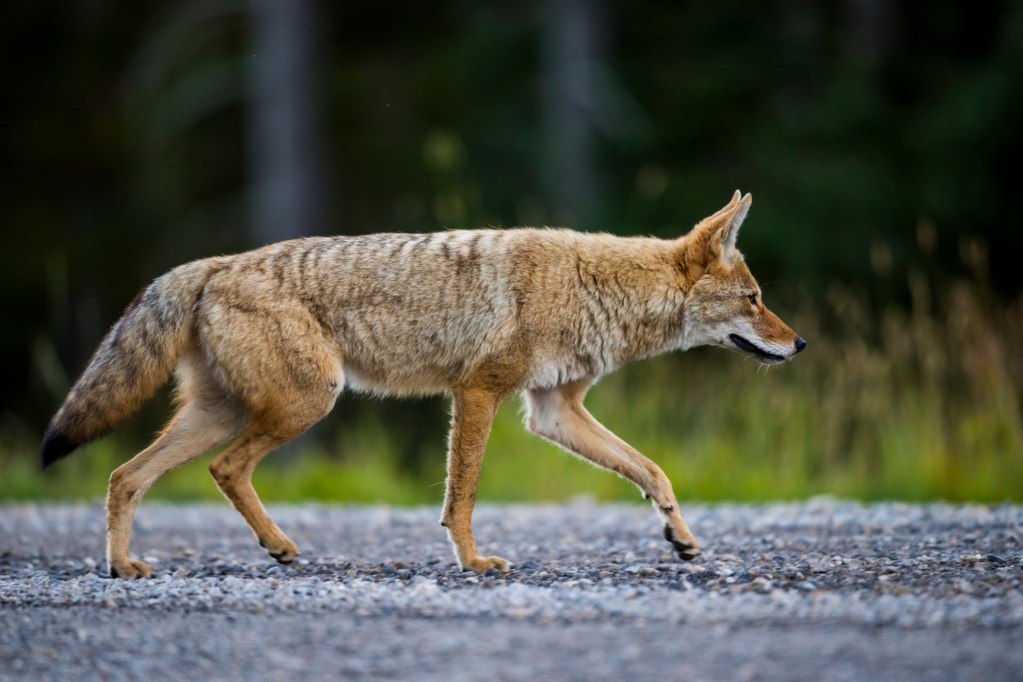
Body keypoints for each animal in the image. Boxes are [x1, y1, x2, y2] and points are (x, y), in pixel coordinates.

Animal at [41, 190, 805, 578]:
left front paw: (680, 536)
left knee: (125, 476)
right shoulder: (479, 393)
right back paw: (277, 547)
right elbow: (460, 495)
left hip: (225, 414)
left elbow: (651, 470)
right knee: (223, 470)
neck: (594, 287)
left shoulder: (552, 412)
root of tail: (215, 263)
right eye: (755, 299)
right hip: (305, 404)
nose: (798, 343)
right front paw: (472, 560)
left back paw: (126, 567)